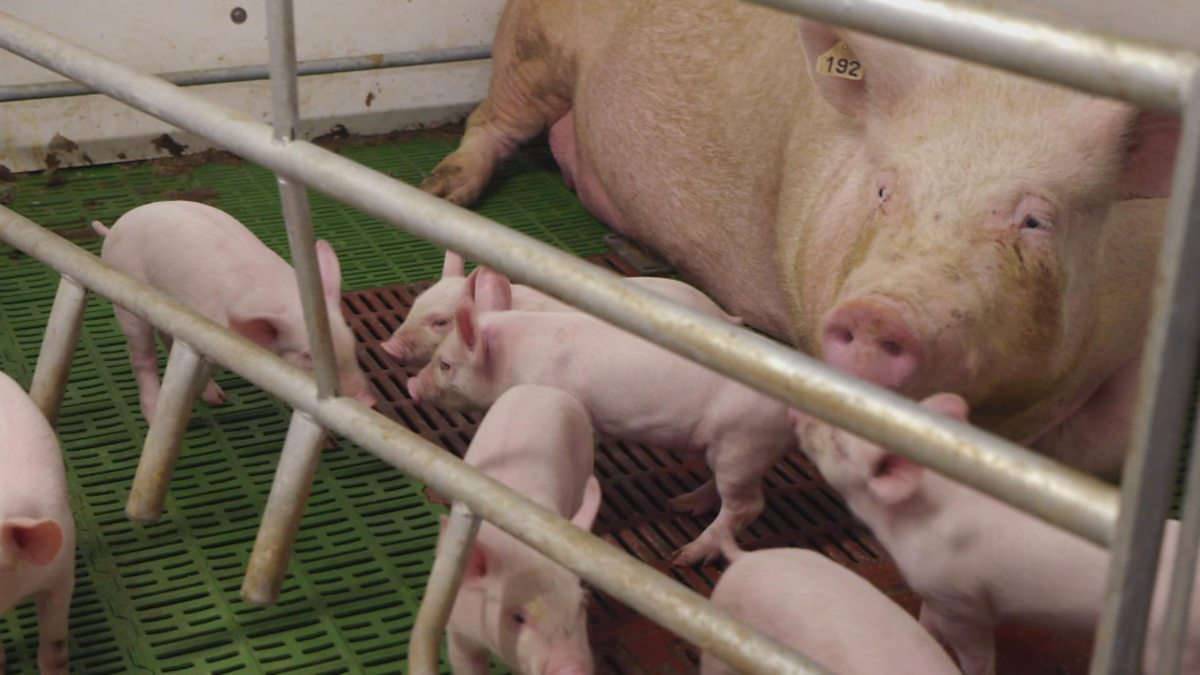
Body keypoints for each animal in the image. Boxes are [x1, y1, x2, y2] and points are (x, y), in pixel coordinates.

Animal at [93, 201, 376, 421]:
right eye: (309, 356)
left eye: (351, 339)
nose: (368, 401)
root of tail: (116, 226)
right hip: (127, 298)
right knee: (143, 358)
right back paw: (156, 414)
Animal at [409, 268, 794, 566]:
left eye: (446, 364)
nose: (413, 385)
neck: (511, 357)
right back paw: (680, 504)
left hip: (742, 443)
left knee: (748, 506)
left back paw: (684, 556)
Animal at [421, 0, 1176, 475]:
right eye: (884, 189)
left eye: (1035, 219)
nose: (879, 313)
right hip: (532, 43)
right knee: (494, 118)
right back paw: (441, 190)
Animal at [792, 394, 1200, 675]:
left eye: (838, 441)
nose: (798, 413)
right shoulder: (934, 591)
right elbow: (926, 621)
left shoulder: (962, 601)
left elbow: (975, 653)